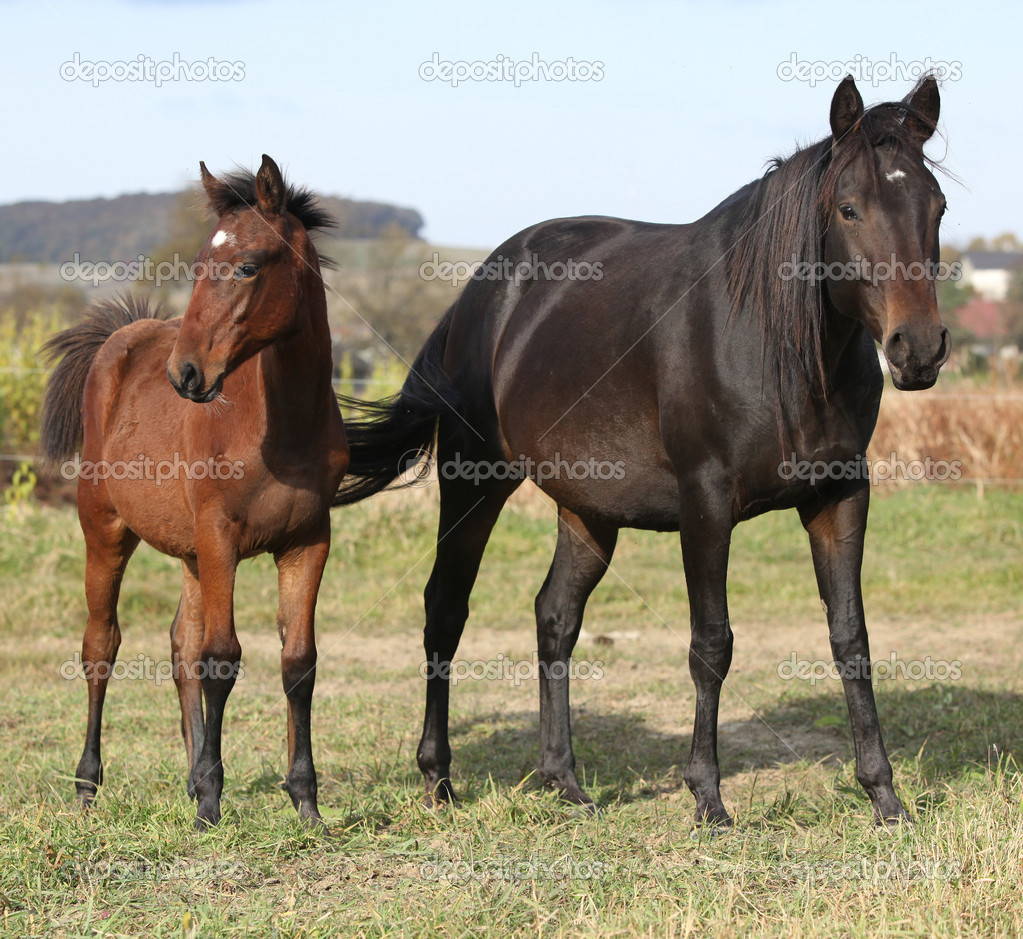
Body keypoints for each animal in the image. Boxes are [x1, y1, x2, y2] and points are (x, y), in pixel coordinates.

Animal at [40, 155, 348, 831]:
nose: (184, 374)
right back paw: (88, 784)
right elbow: (222, 658)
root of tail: (120, 337)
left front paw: (306, 801)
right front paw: (211, 803)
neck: (279, 426)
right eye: (201, 263)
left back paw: (187, 776)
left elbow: (298, 662)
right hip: (106, 529)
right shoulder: (220, 537)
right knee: (102, 645)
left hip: (187, 552)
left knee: (180, 644)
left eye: (247, 266)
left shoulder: (308, 542)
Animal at [333, 75, 950, 827]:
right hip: (473, 481)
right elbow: (711, 643)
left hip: (588, 510)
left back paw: (564, 780)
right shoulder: (706, 503)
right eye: (849, 208)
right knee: (445, 609)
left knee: (555, 618)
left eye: (937, 206)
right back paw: (437, 779)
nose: (917, 349)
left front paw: (884, 796)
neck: (774, 342)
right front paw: (707, 796)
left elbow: (850, 639)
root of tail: (478, 293)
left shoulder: (839, 496)